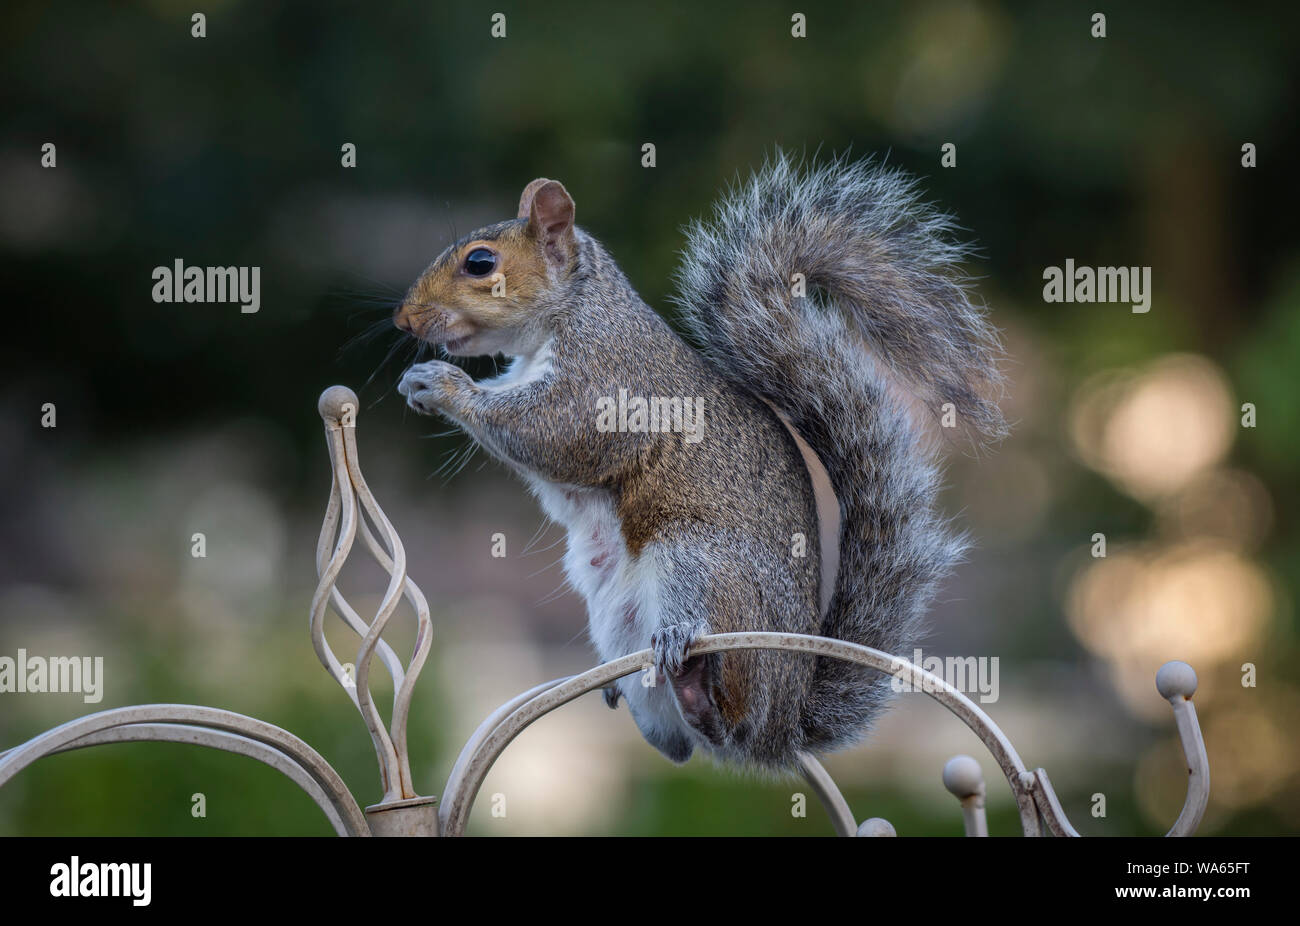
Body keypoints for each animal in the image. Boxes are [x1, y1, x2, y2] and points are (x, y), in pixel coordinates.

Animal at [394, 152, 1006, 772]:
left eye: (480, 262)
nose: (403, 320)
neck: (575, 311)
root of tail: (785, 725)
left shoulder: (606, 383)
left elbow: (554, 435)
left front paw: (442, 385)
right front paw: (418, 382)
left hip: (701, 563)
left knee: (727, 719)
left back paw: (692, 677)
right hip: (615, 611)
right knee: (679, 744)